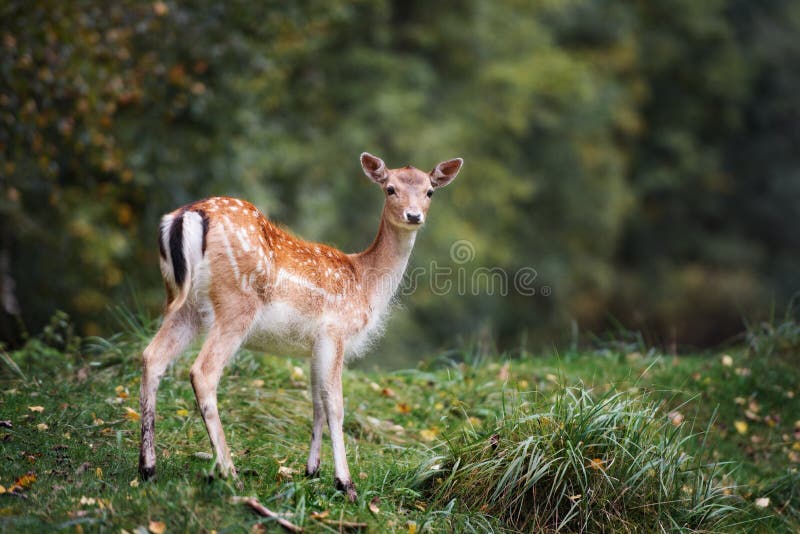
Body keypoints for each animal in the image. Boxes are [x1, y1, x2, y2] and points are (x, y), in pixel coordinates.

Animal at [138, 152, 463, 501]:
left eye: (429, 191)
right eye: (390, 188)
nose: (413, 215)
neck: (365, 284)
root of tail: (185, 216)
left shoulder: (313, 345)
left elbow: (316, 403)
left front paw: (312, 471)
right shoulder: (335, 331)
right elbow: (335, 405)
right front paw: (346, 484)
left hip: (185, 305)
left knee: (152, 356)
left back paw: (147, 470)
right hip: (236, 303)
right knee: (202, 372)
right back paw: (230, 474)